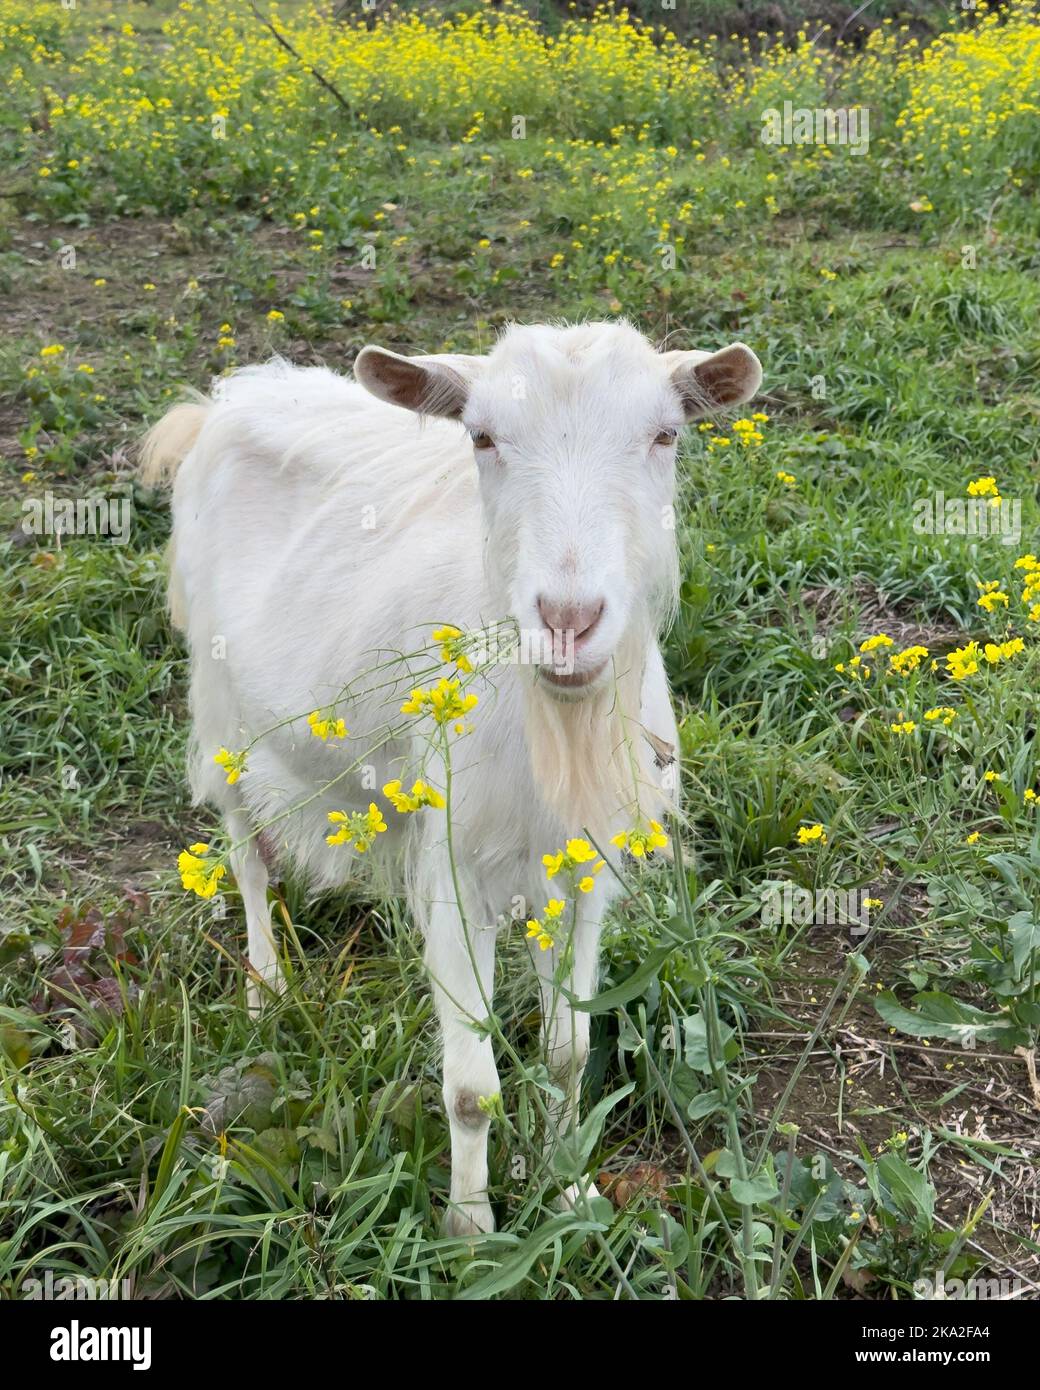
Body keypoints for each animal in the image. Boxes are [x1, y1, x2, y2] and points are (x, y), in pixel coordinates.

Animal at [142, 320, 762, 1235]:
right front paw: (470, 1230)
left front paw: (566, 1188)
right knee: (247, 853)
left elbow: (569, 1049)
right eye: (482, 438)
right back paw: (266, 990)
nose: (567, 620)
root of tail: (226, 399)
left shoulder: (582, 866)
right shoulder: (456, 869)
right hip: (222, 715)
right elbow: (472, 1087)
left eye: (664, 435)